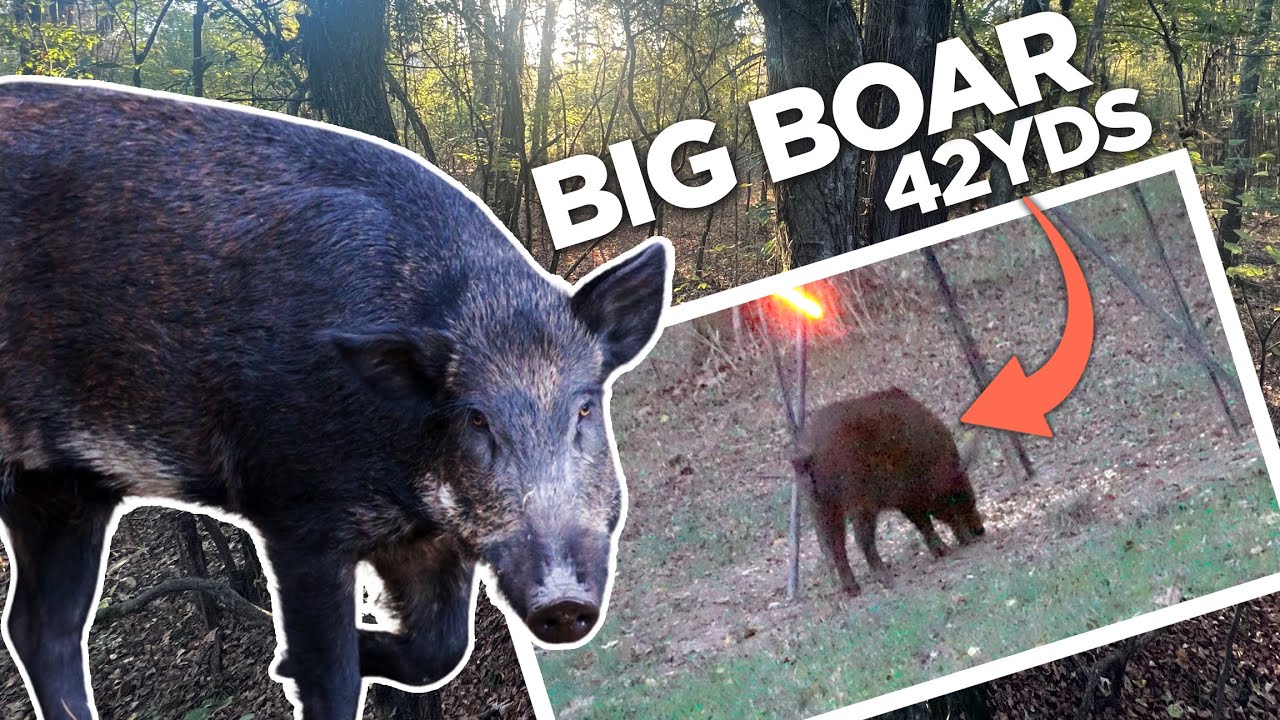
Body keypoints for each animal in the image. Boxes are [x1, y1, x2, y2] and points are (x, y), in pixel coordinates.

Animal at [0, 77, 671, 720]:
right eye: (476, 419)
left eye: (584, 408)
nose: (563, 603)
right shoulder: (296, 514)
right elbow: (334, 677)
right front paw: (289, 666)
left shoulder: (427, 540)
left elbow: (441, 648)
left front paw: (296, 660)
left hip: (63, 489)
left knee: (38, 628)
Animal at [790, 387, 984, 597]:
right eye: (959, 494)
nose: (980, 531)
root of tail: (806, 454)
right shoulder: (908, 495)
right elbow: (924, 521)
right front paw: (944, 550)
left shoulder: (906, 498)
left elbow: (921, 522)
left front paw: (942, 551)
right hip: (857, 501)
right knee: (860, 539)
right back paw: (886, 578)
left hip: (821, 506)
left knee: (834, 544)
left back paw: (853, 590)